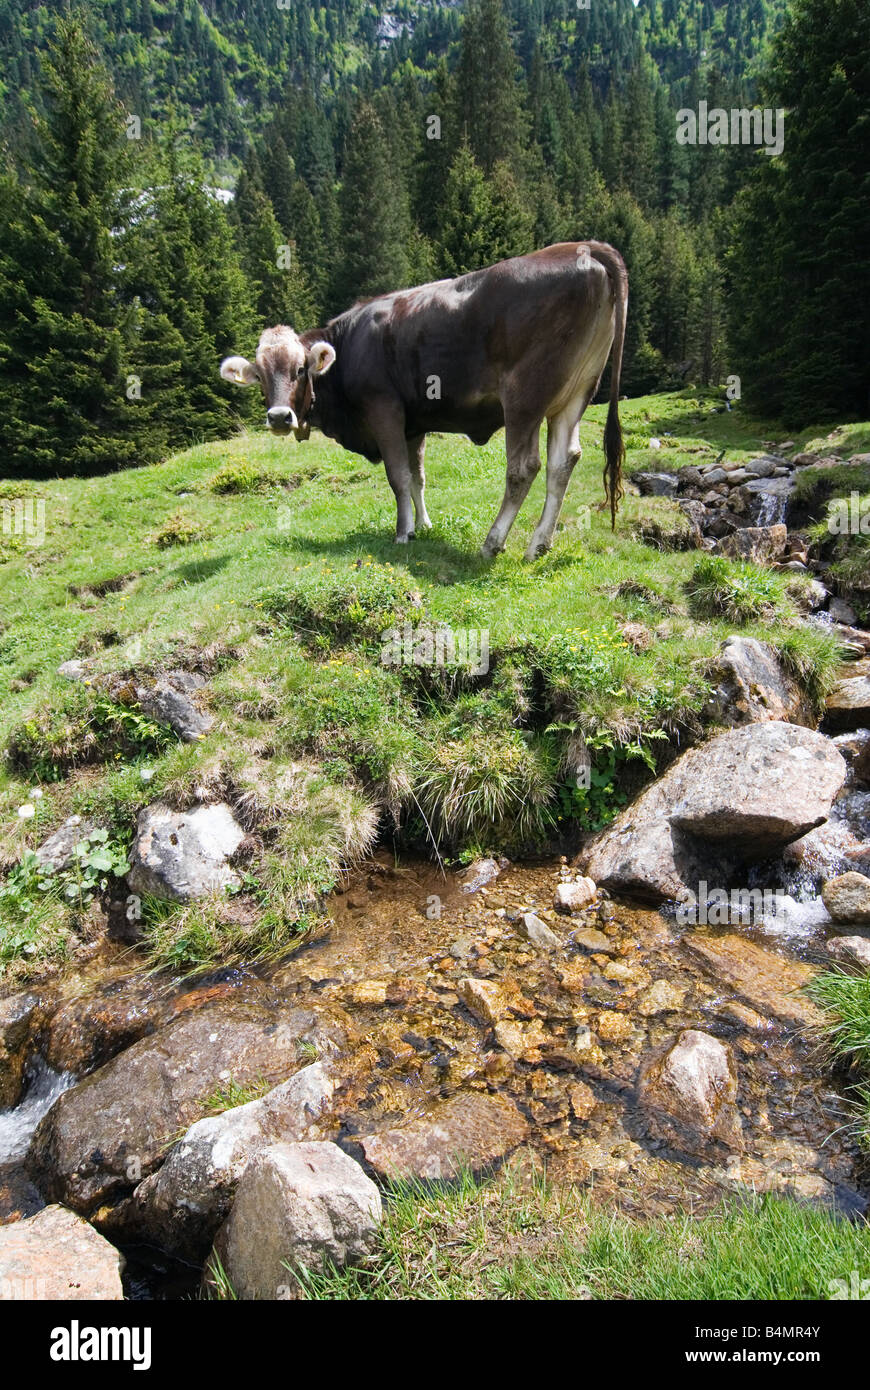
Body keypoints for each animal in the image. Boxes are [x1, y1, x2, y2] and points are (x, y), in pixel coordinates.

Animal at [220, 242, 627, 559]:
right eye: (259, 376)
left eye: (301, 369)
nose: (278, 417)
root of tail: (585, 248)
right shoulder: (413, 424)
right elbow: (418, 477)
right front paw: (424, 525)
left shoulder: (383, 408)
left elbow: (398, 476)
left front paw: (403, 533)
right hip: (576, 393)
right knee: (563, 462)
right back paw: (539, 544)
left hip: (525, 395)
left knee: (524, 467)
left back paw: (492, 542)